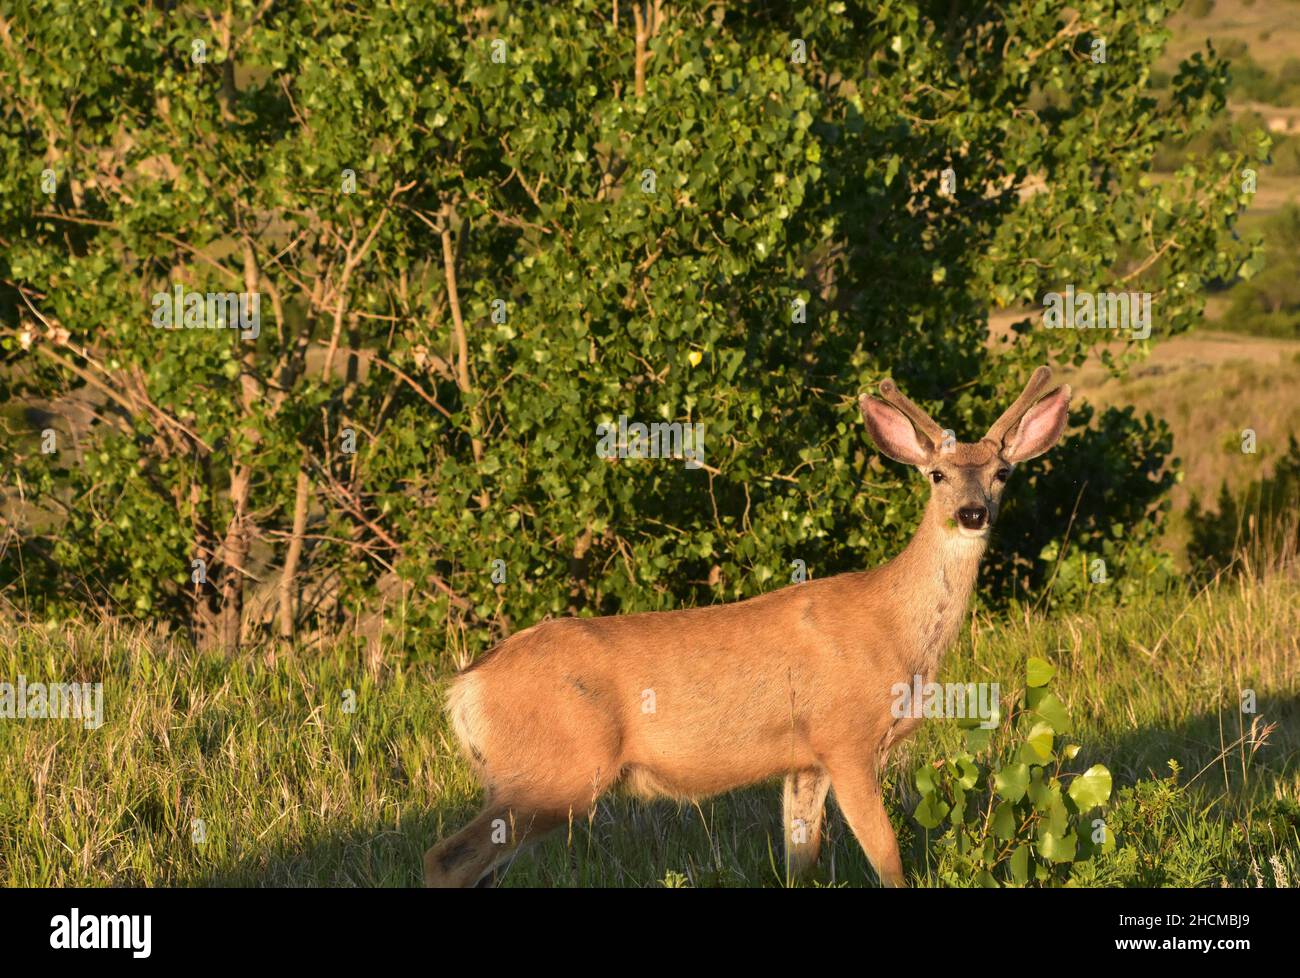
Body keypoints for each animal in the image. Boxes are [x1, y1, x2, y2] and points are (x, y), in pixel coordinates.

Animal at [424, 366, 1071, 887]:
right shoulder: (845, 738)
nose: (973, 513)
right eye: (936, 474)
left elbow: (801, 862)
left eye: (1003, 473)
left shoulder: (805, 760)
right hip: (558, 771)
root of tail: (464, 688)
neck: (895, 631)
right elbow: (888, 859)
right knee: (446, 857)